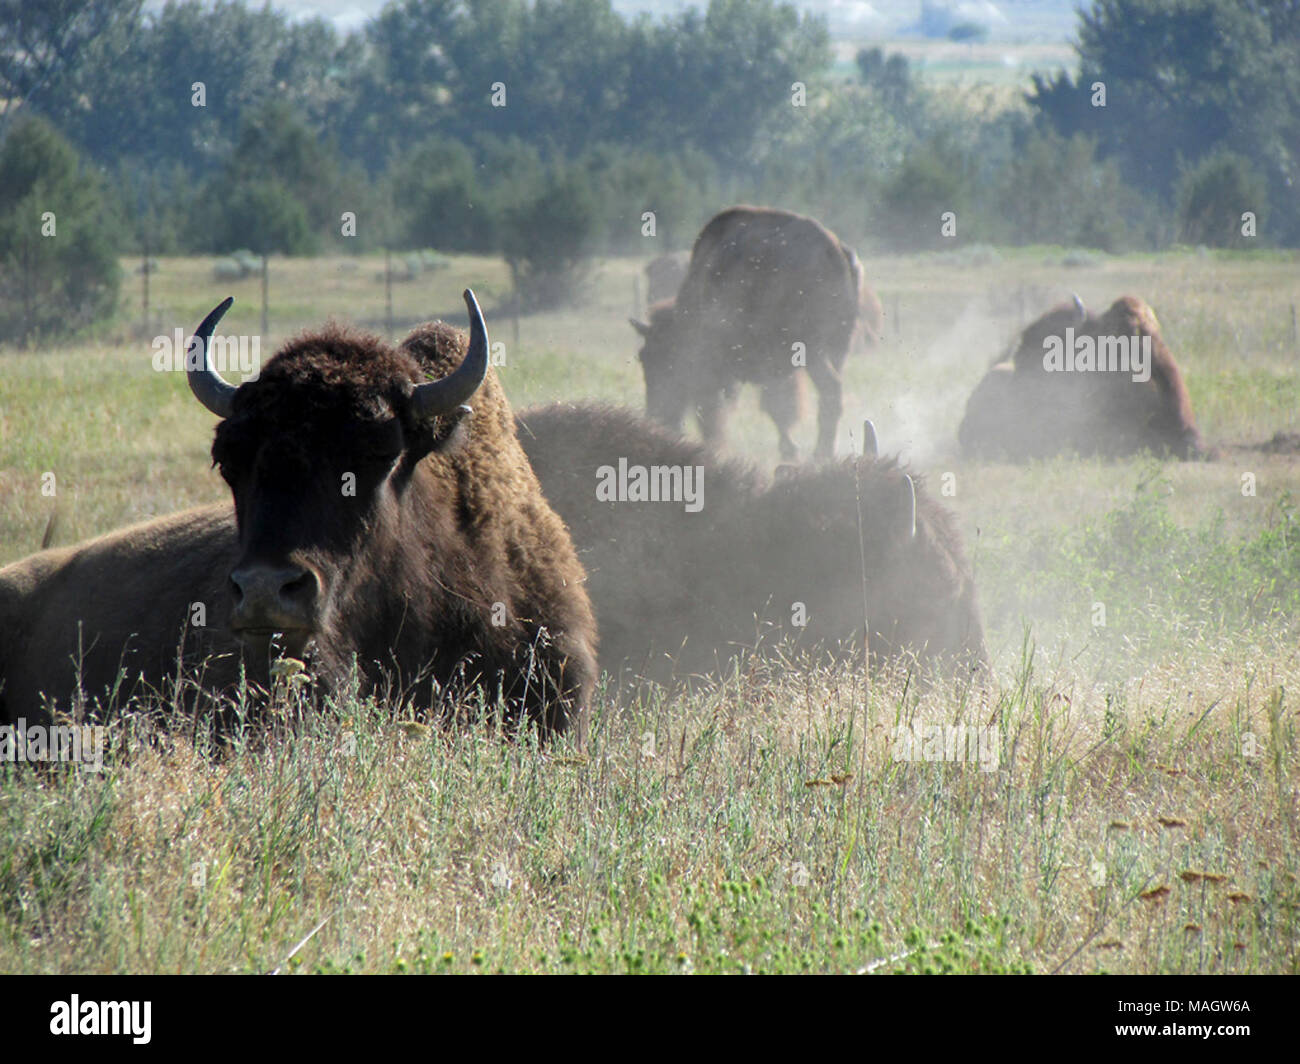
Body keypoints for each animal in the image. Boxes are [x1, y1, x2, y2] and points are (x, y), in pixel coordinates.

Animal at [629, 206, 878, 462]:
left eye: (654, 359)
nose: (656, 418)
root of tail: (836, 251)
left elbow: (724, 412)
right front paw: (789, 450)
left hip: (814, 353)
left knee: (830, 389)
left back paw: (821, 454)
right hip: (839, 349)